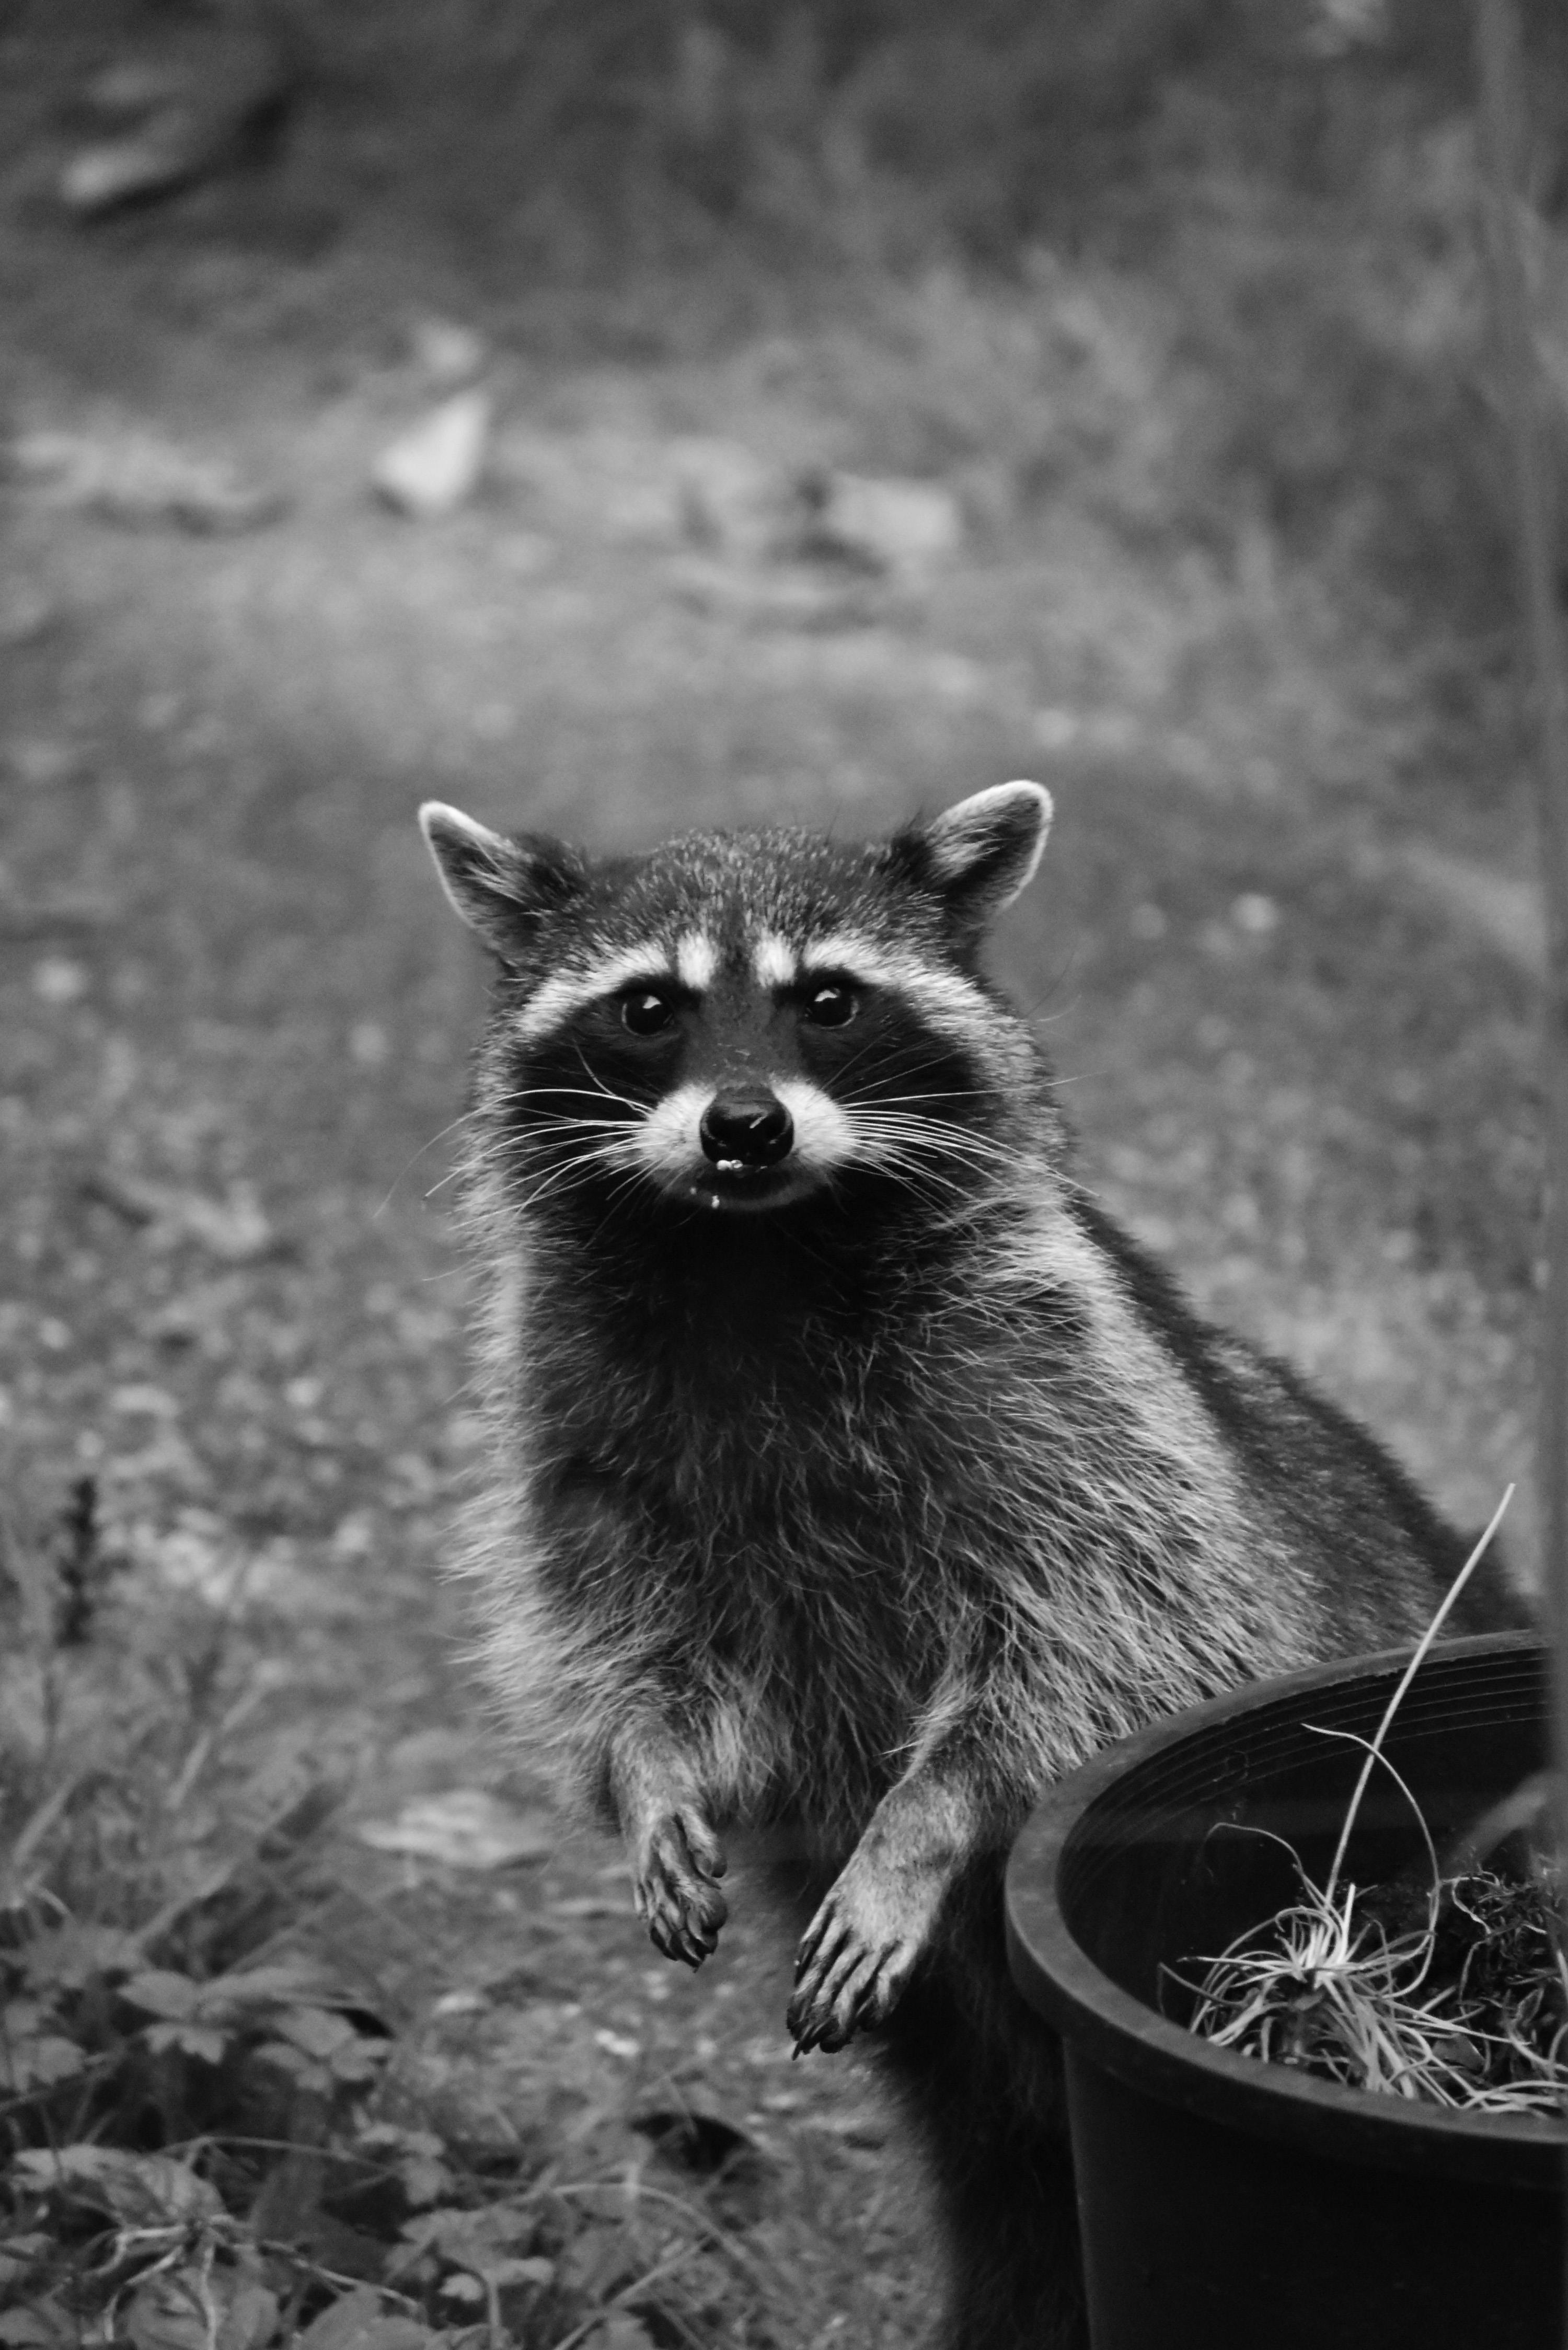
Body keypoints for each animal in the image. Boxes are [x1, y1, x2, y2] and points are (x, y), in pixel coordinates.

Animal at [420, 782, 1525, 2350]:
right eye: (648, 1008)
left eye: (827, 999)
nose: (743, 1127)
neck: (754, 1247)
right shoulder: (587, 1435)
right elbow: (626, 1633)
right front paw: (647, 1768)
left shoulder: (1075, 1400)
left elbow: (1098, 1645)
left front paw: (922, 1823)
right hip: (971, 2071)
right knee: (1004, 2189)